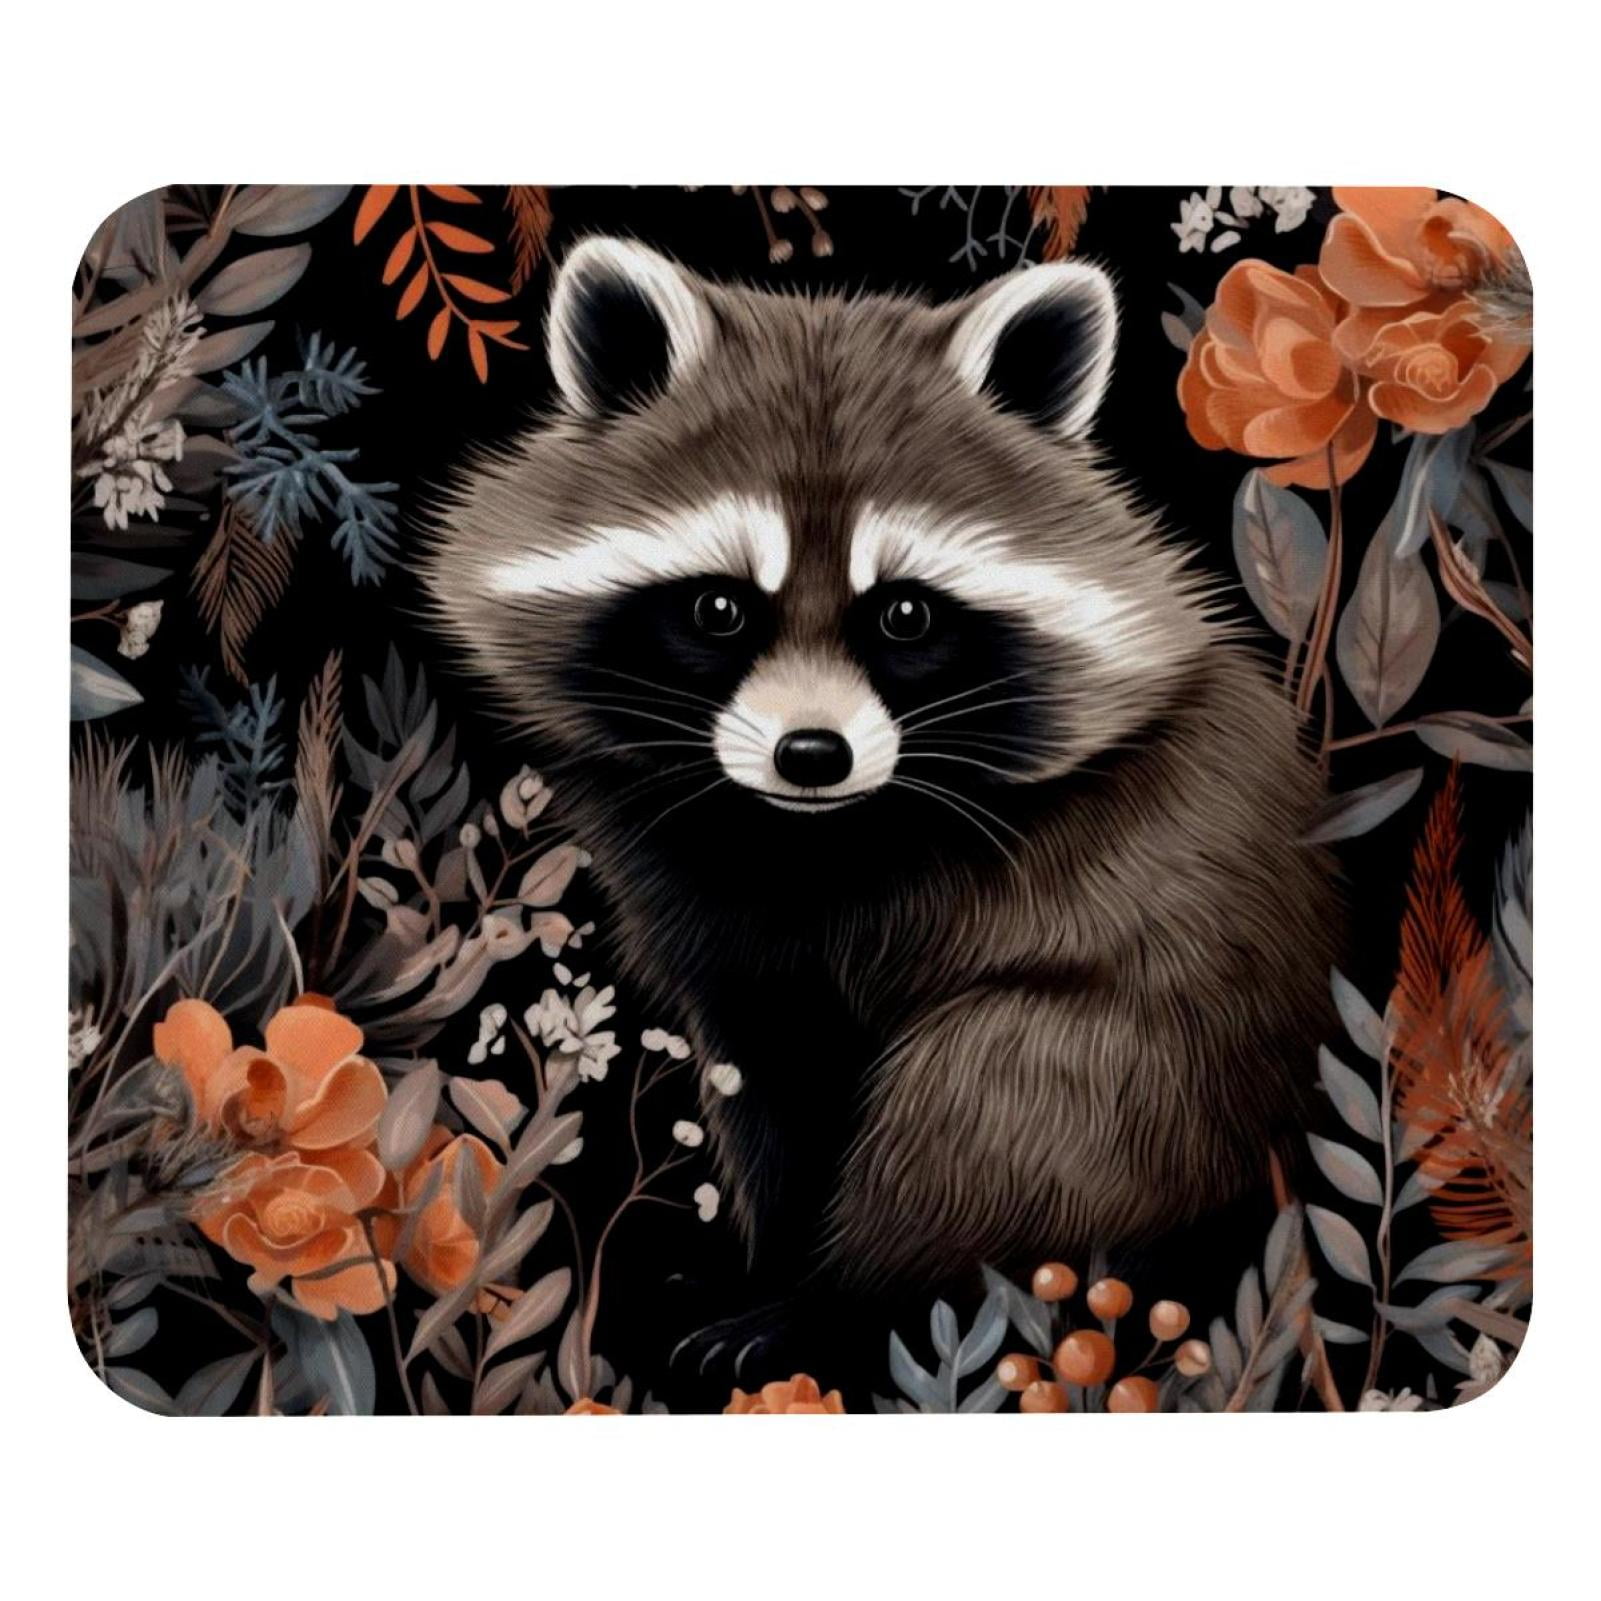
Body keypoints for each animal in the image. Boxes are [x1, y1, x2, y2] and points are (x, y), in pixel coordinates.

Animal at [425, 236, 1340, 1316]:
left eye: (904, 614)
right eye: (718, 608)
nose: (811, 753)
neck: (807, 832)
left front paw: (813, 1292)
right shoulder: (712, 918)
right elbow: (767, 1072)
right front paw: (770, 1254)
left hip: (1164, 1061)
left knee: (994, 1095)